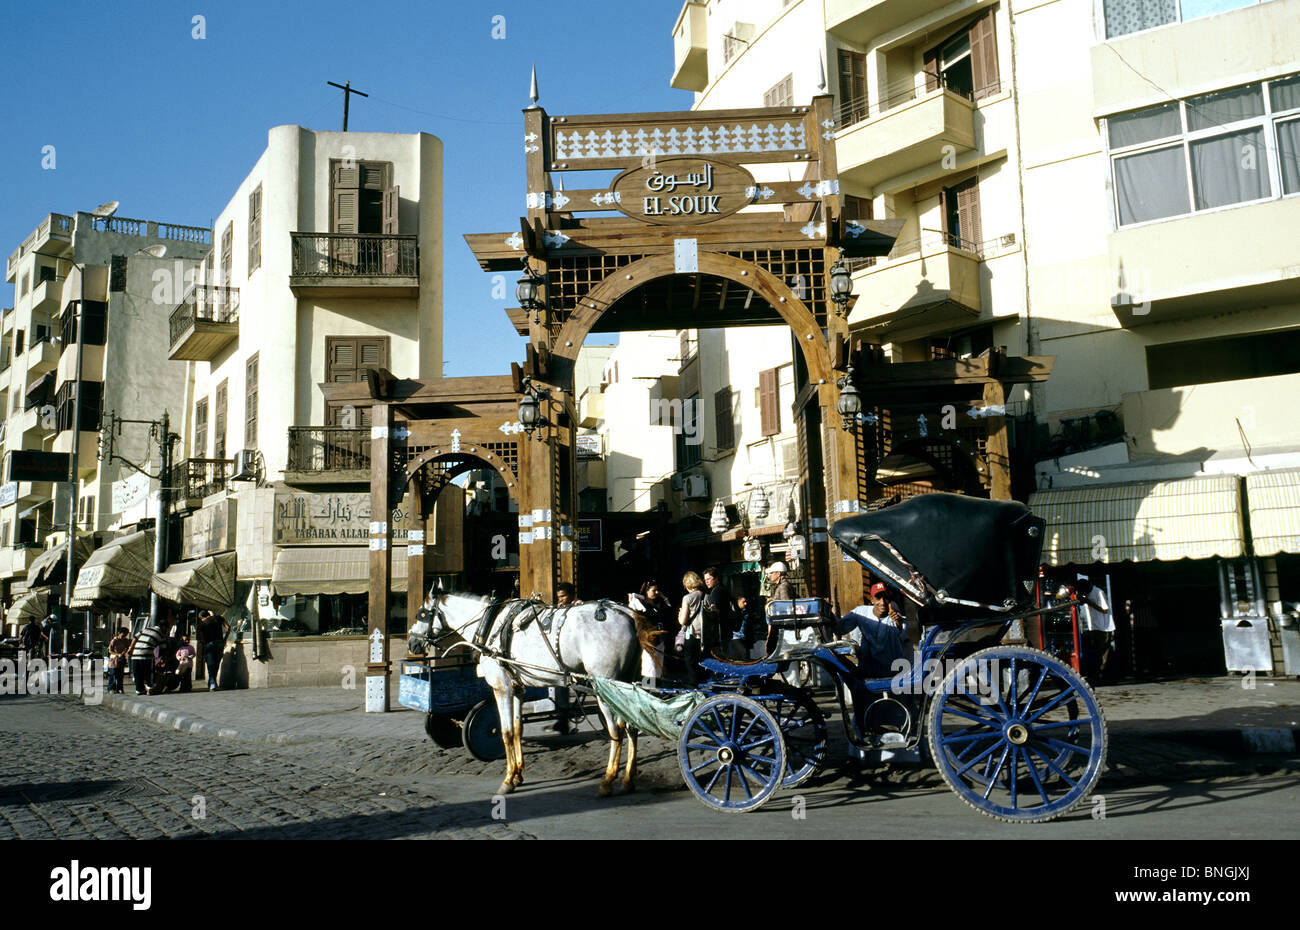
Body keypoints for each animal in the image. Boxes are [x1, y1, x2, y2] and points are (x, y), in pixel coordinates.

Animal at [413, 593, 650, 796]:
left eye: (421, 614)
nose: (412, 642)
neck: (490, 625)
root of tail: (625, 612)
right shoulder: (517, 688)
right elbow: (518, 729)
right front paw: (517, 774)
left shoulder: (502, 688)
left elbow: (505, 732)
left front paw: (508, 780)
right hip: (626, 686)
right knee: (631, 727)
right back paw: (628, 779)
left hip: (604, 688)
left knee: (616, 731)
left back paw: (608, 781)